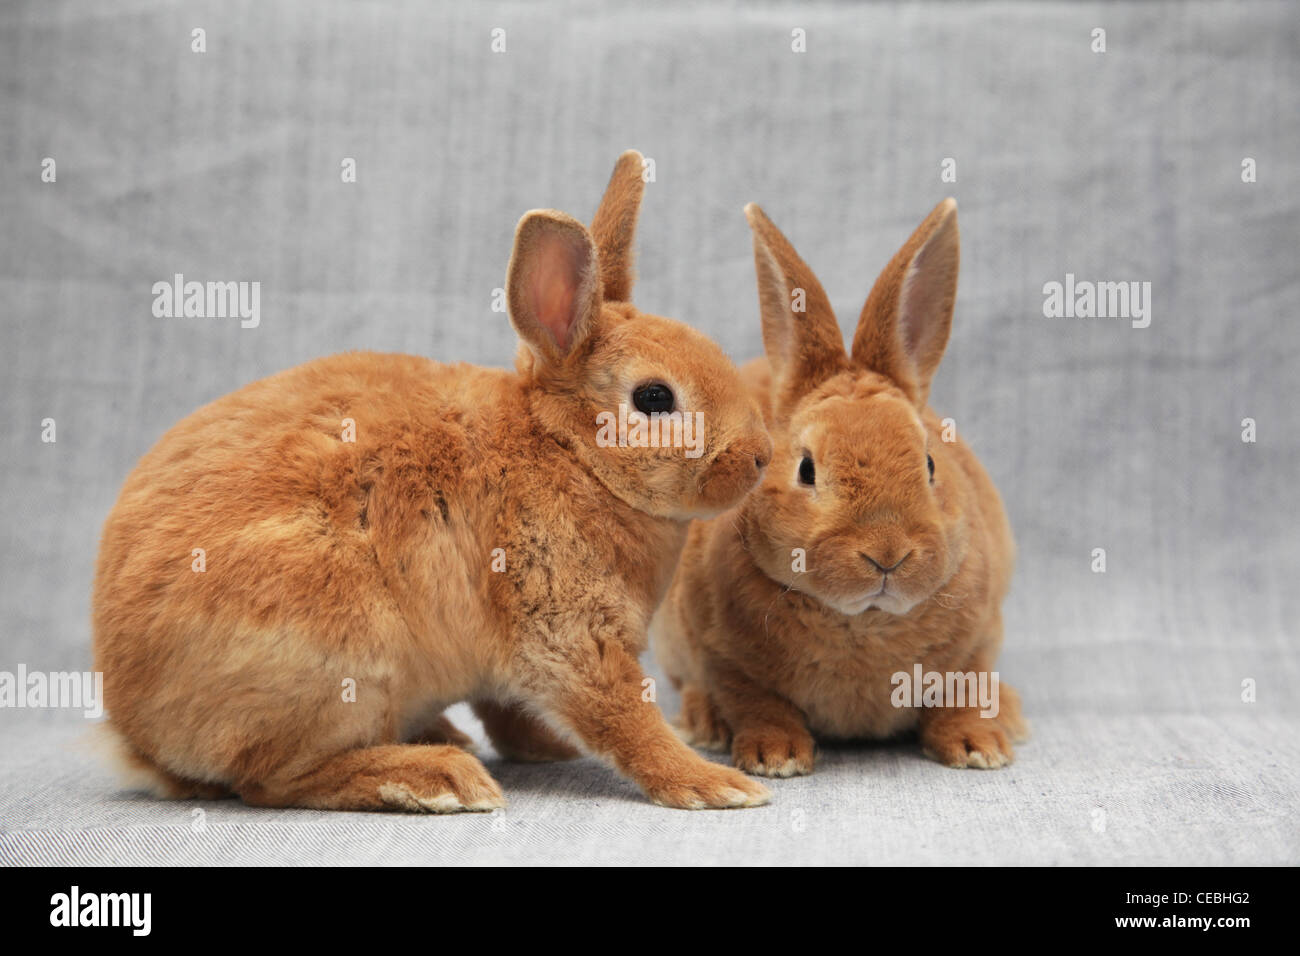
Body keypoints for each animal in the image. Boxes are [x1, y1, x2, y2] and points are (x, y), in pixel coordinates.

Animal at [92, 151, 774, 812]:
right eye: (654, 398)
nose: (762, 455)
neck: (570, 454)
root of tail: (140, 735)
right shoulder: (565, 627)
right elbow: (623, 717)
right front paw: (714, 784)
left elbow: (507, 708)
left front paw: (548, 751)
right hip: (341, 660)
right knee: (271, 780)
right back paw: (436, 776)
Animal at [653, 198, 1028, 777]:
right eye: (806, 469)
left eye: (929, 464)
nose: (887, 555)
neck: (864, 622)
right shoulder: (726, 661)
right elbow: (758, 705)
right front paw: (776, 758)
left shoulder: (976, 651)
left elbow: (962, 697)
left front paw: (978, 749)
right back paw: (703, 723)